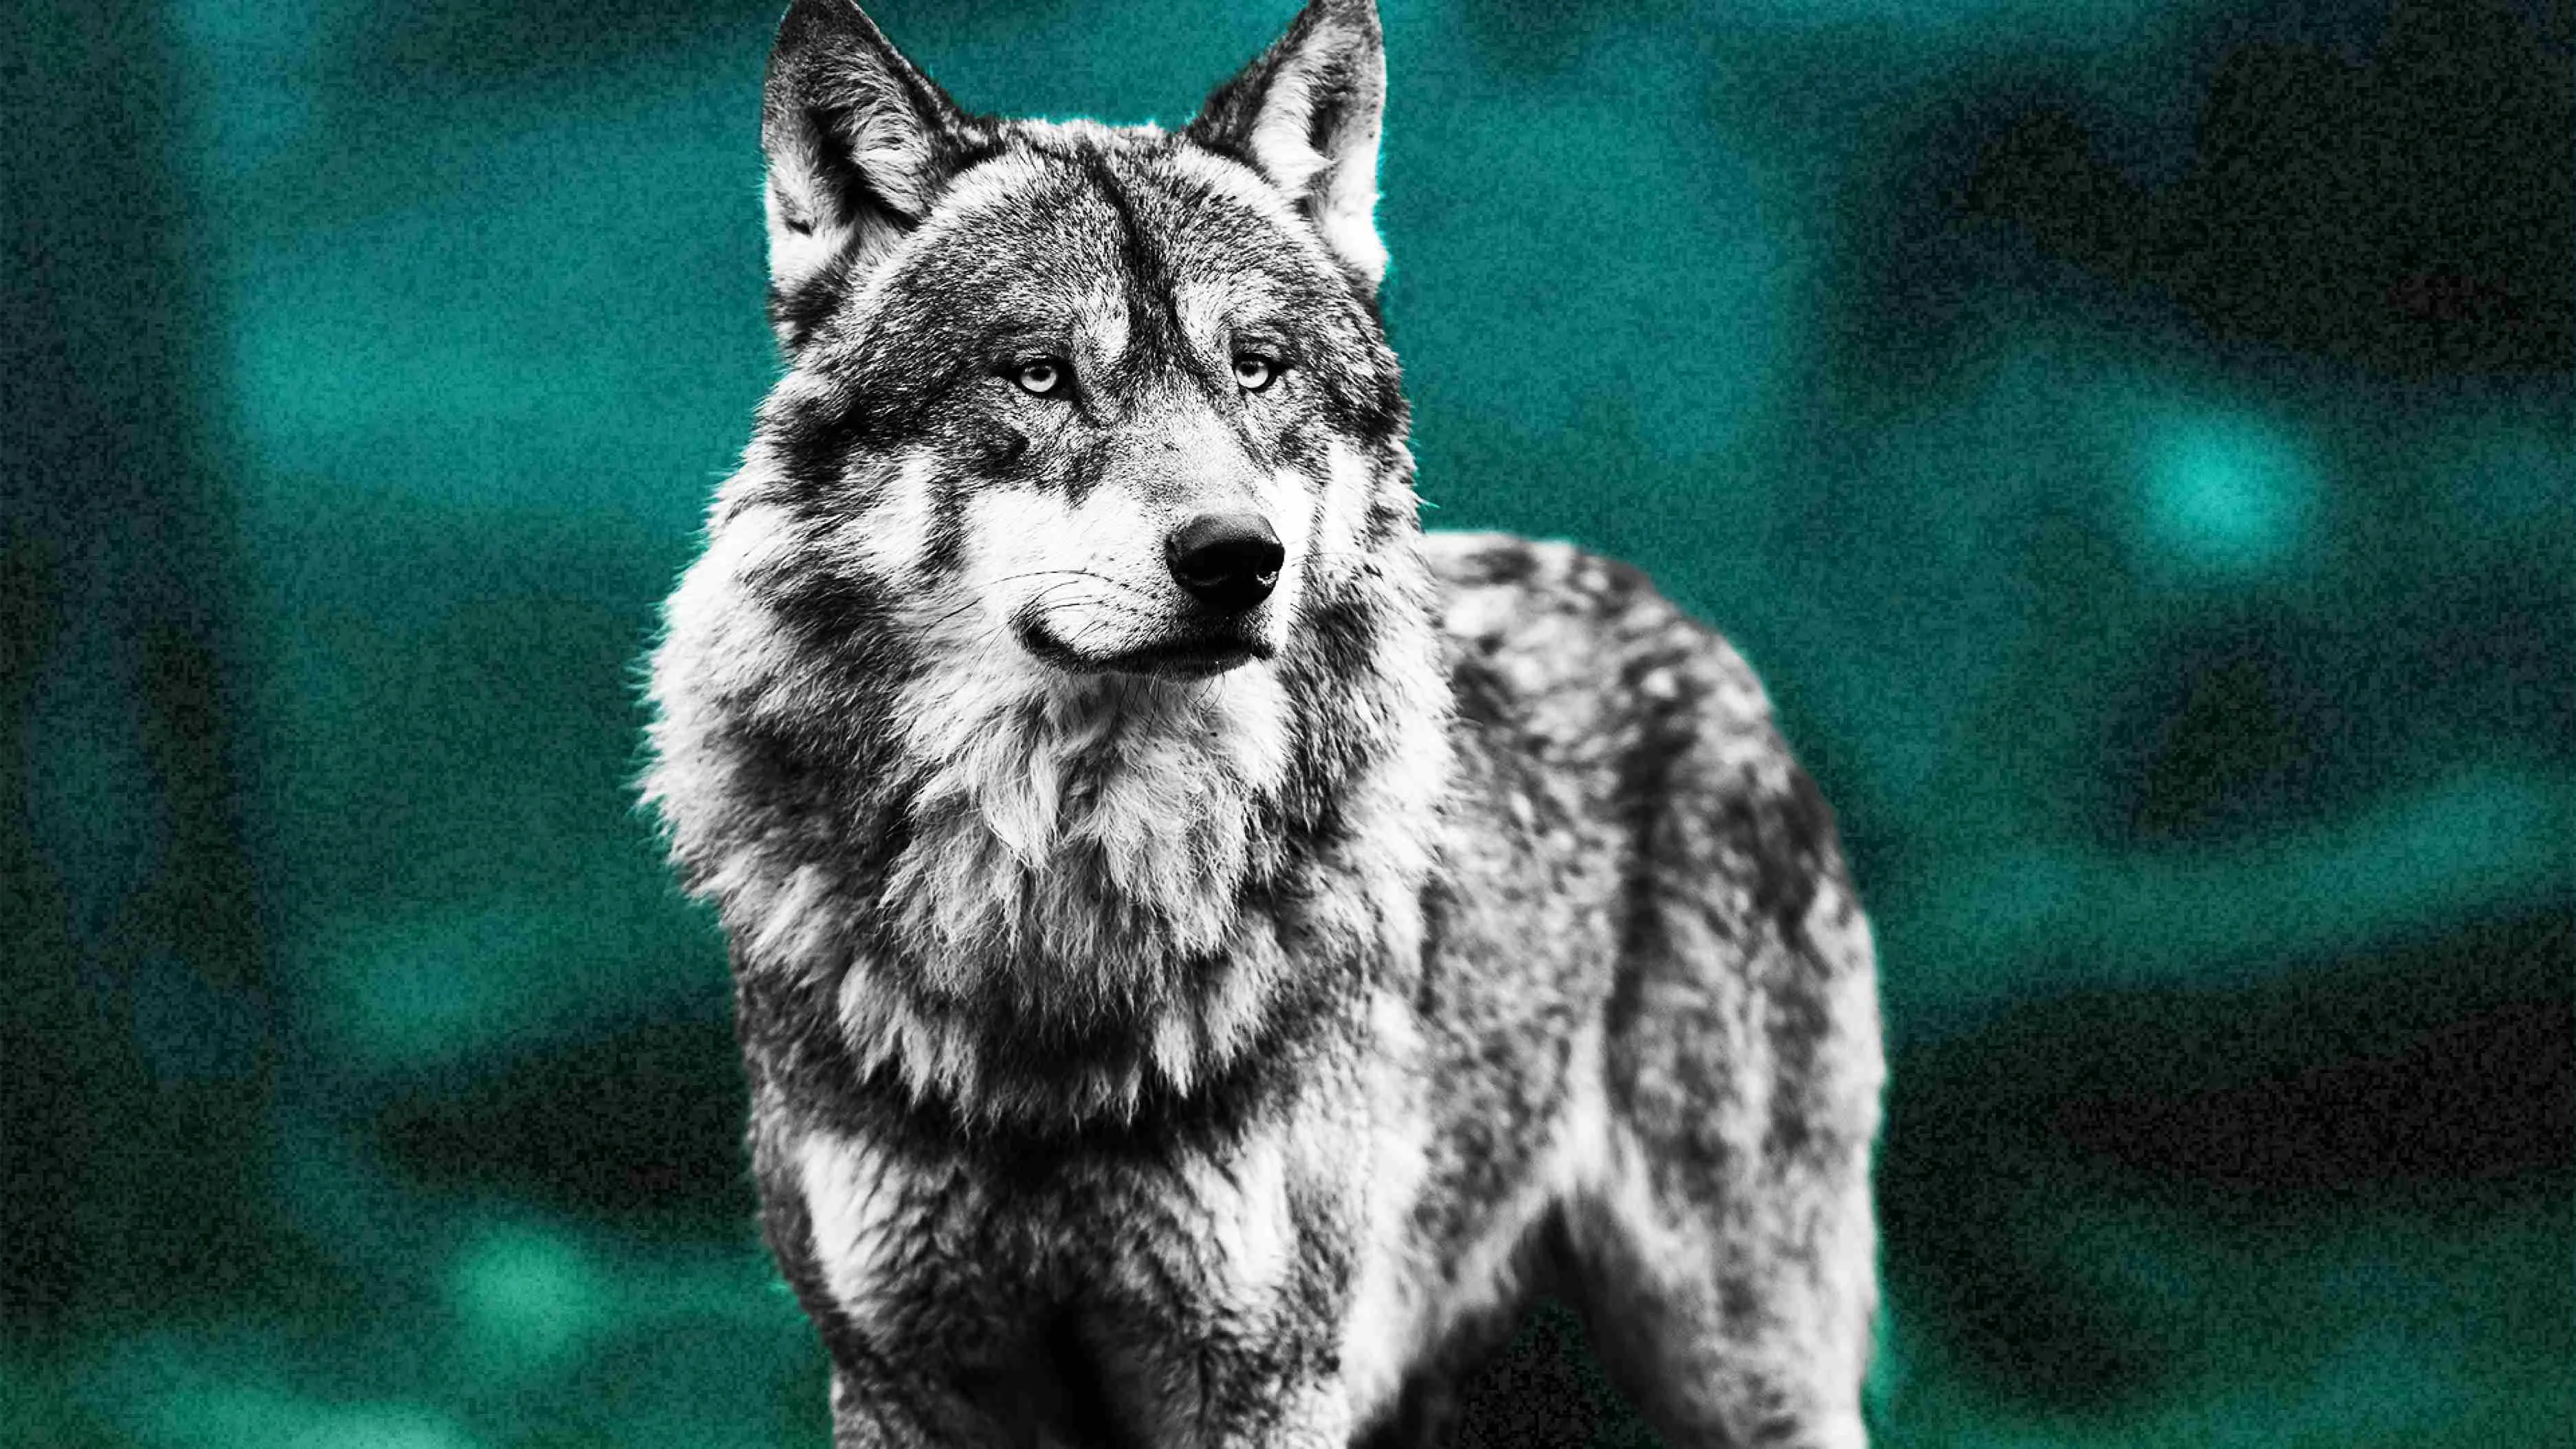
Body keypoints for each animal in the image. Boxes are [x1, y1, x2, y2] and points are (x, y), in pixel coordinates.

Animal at [642, 1, 1883, 1444]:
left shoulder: (1264, 1369)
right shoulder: (906, 1378)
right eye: (1038, 375)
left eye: (1256, 369)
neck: (1060, 931)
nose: (1238, 557)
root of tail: (1682, 622)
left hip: (1734, 1363)